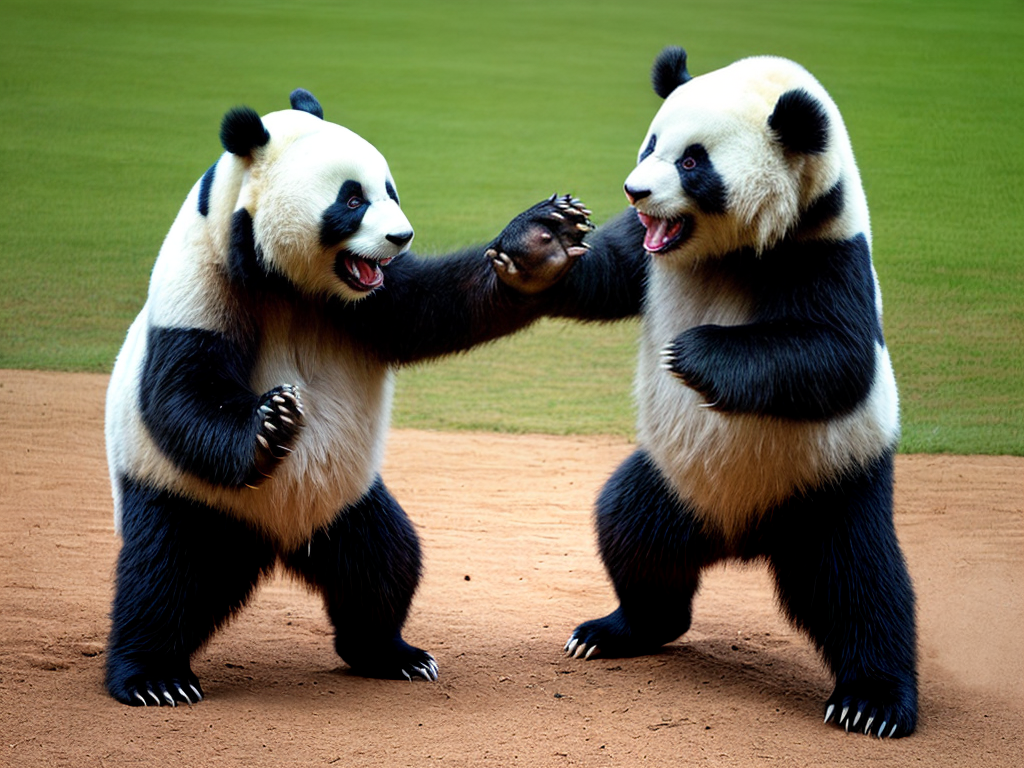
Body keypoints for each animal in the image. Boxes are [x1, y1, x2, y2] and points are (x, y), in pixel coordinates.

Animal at [104, 88, 592, 707]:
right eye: (352, 199)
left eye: (390, 191)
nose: (401, 237)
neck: (286, 285)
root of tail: (275, 541)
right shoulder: (198, 286)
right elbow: (181, 392)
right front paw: (271, 424)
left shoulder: (367, 300)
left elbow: (432, 309)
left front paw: (540, 241)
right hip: (186, 494)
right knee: (167, 574)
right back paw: (152, 677)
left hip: (344, 501)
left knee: (381, 563)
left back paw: (390, 653)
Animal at [545, 48, 918, 737]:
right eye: (652, 143)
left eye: (694, 162)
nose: (636, 190)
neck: (733, 249)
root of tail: (741, 535)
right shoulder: (651, 252)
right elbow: (607, 269)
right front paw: (543, 243)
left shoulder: (826, 251)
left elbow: (840, 356)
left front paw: (692, 354)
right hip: (673, 480)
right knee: (632, 531)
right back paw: (617, 630)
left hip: (830, 484)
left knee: (860, 585)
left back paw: (873, 702)